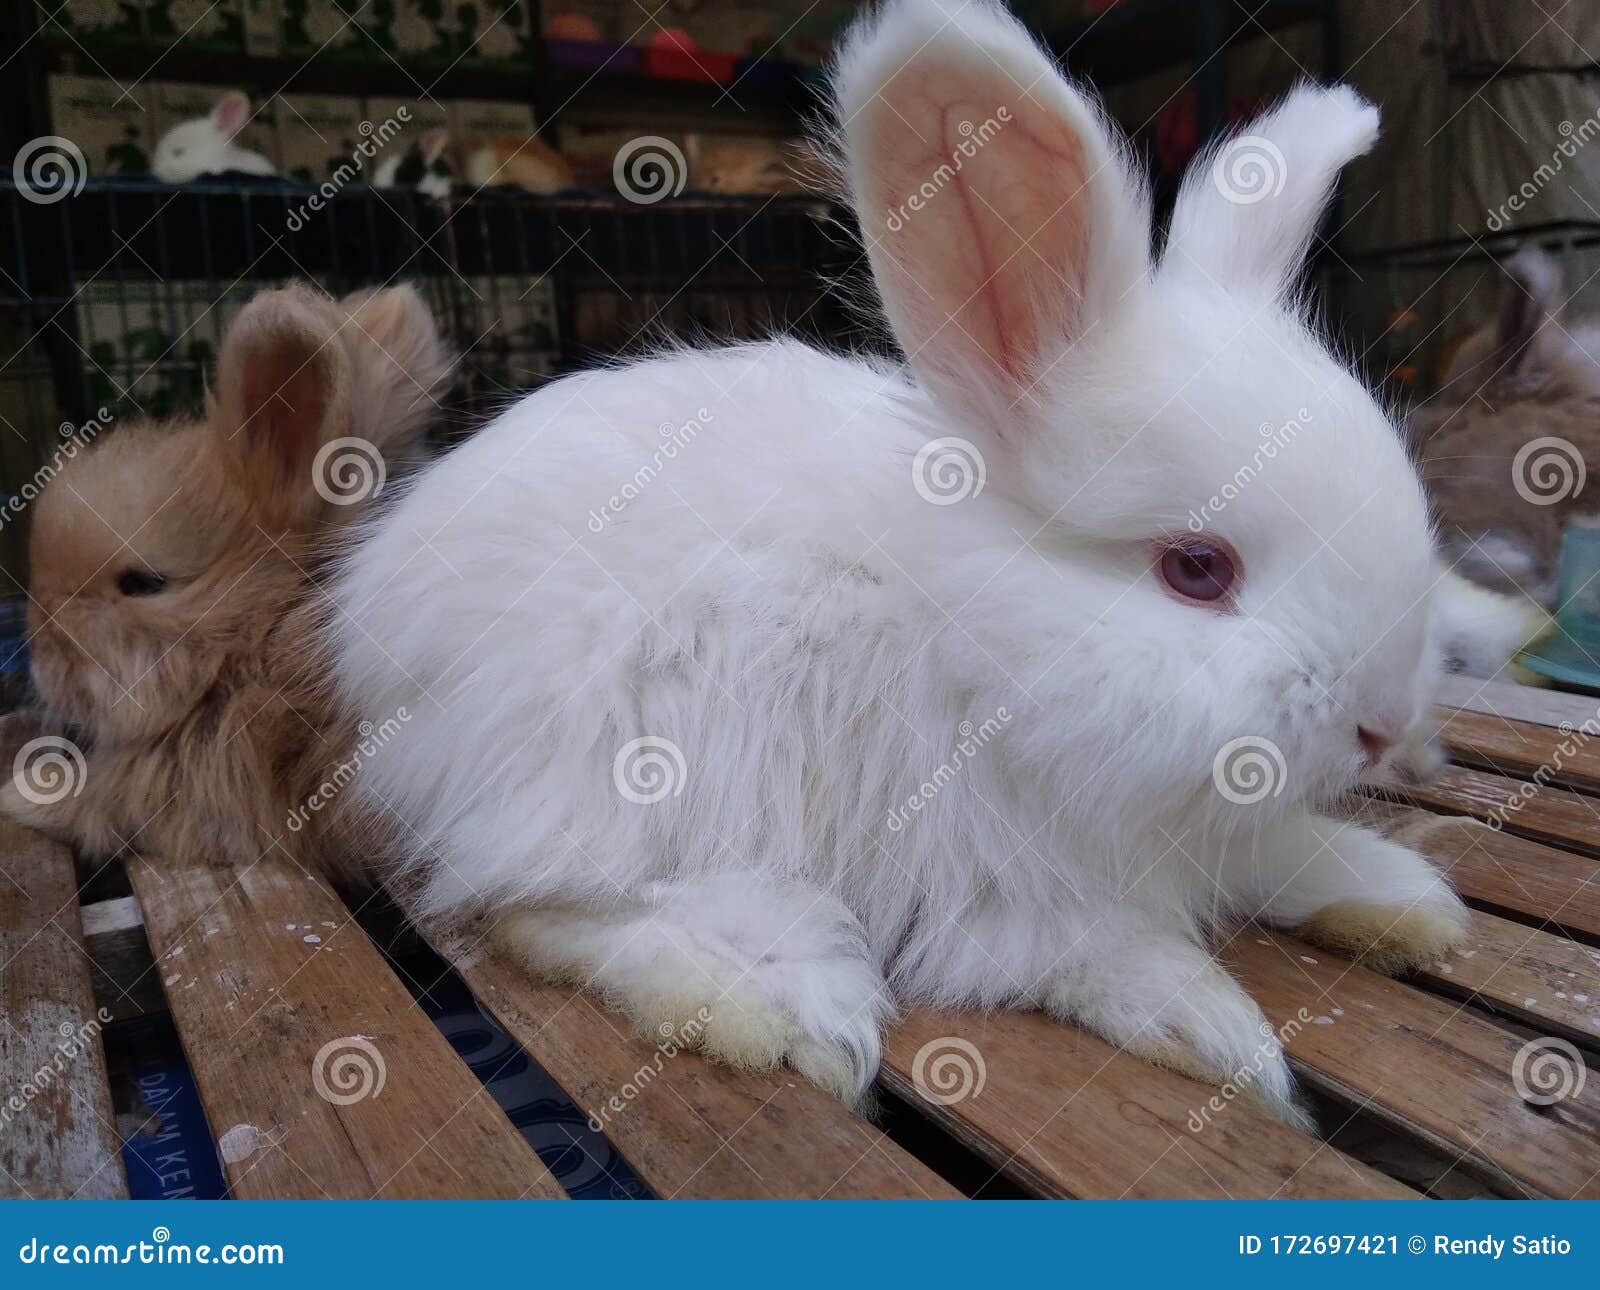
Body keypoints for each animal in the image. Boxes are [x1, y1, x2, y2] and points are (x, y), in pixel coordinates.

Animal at [0, 284, 455, 882]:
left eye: (143, 583)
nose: (40, 654)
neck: (270, 625)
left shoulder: (213, 781)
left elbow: (108, 795)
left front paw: (19, 795)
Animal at [323, 0, 1468, 1128]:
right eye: (1196, 568)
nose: (1383, 724)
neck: (984, 639)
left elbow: (1282, 857)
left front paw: (1404, 900)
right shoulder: (995, 877)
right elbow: (1100, 955)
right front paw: (1220, 1036)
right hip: (606, 749)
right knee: (536, 904)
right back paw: (778, 994)